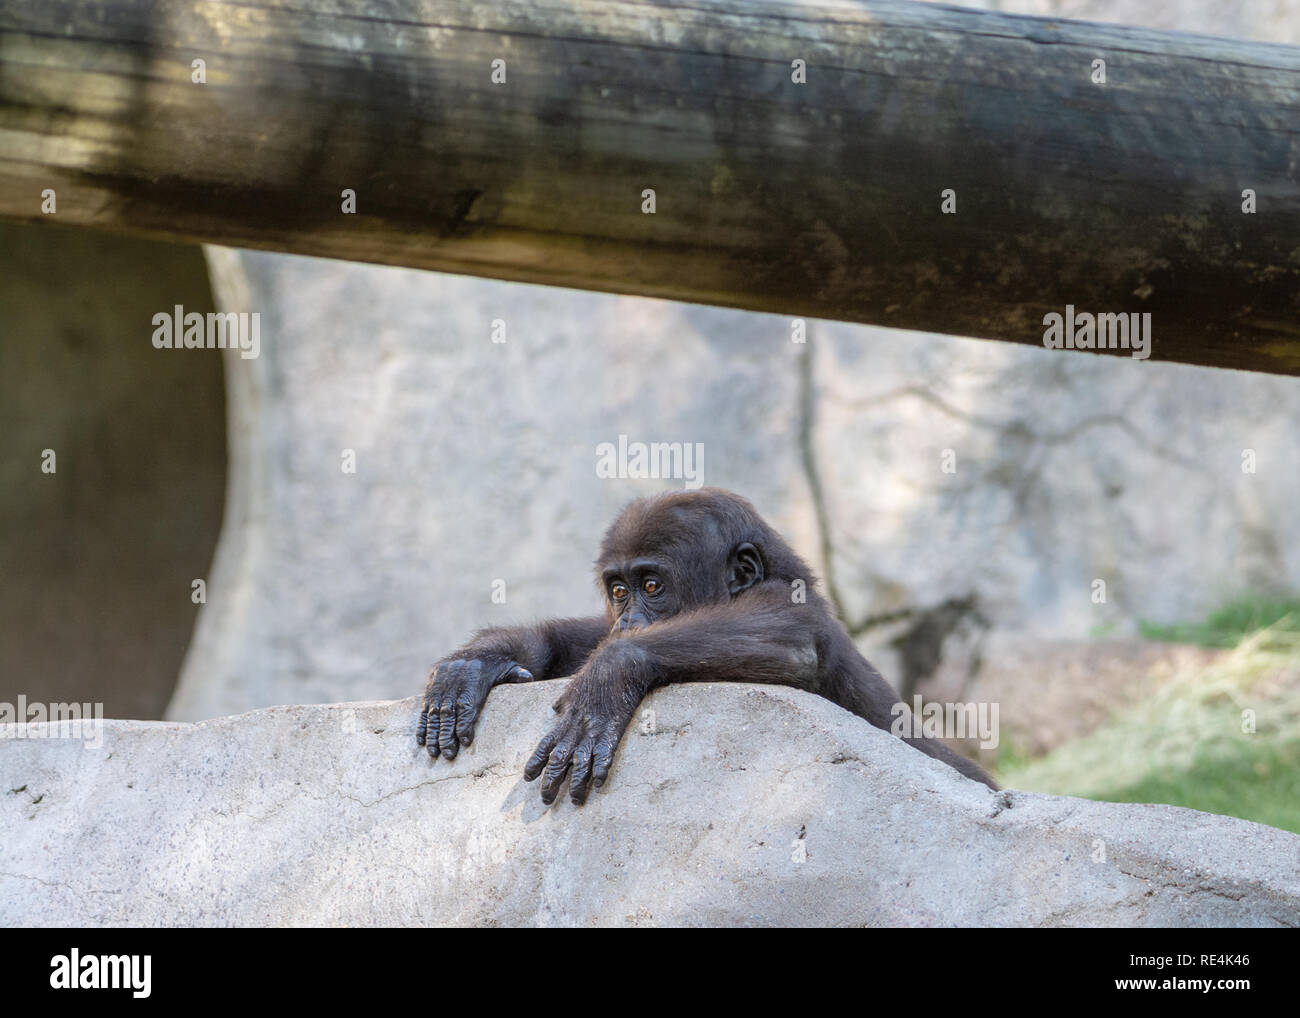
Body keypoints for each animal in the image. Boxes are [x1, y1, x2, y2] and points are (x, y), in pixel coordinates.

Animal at [417, 488, 997, 804]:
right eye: (620, 590)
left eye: (653, 586)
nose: (629, 624)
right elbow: (575, 640)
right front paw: (480, 660)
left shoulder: (788, 605)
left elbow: (792, 646)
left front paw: (611, 677)